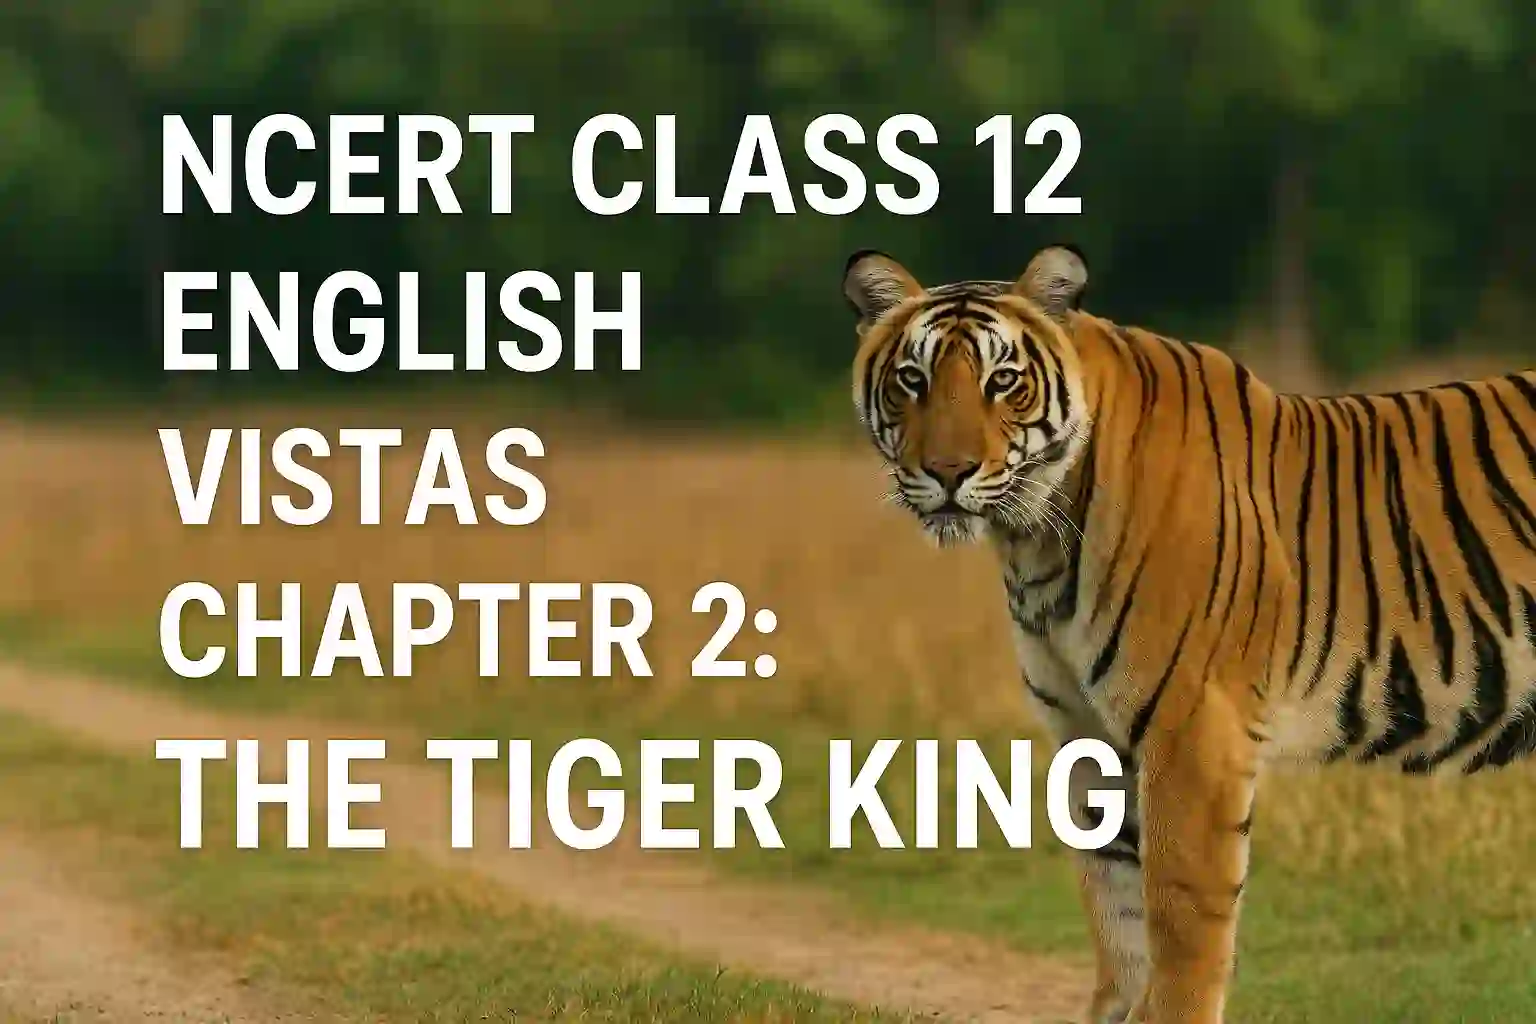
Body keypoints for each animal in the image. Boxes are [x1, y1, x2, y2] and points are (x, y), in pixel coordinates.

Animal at [840, 244, 1536, 1024]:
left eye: (1003, 381)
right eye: (913, 380)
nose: (948, 472)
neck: (1034, 543)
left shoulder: (1194, 729)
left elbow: (1182, 918)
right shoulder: (1088, 737)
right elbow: (1117, 920)